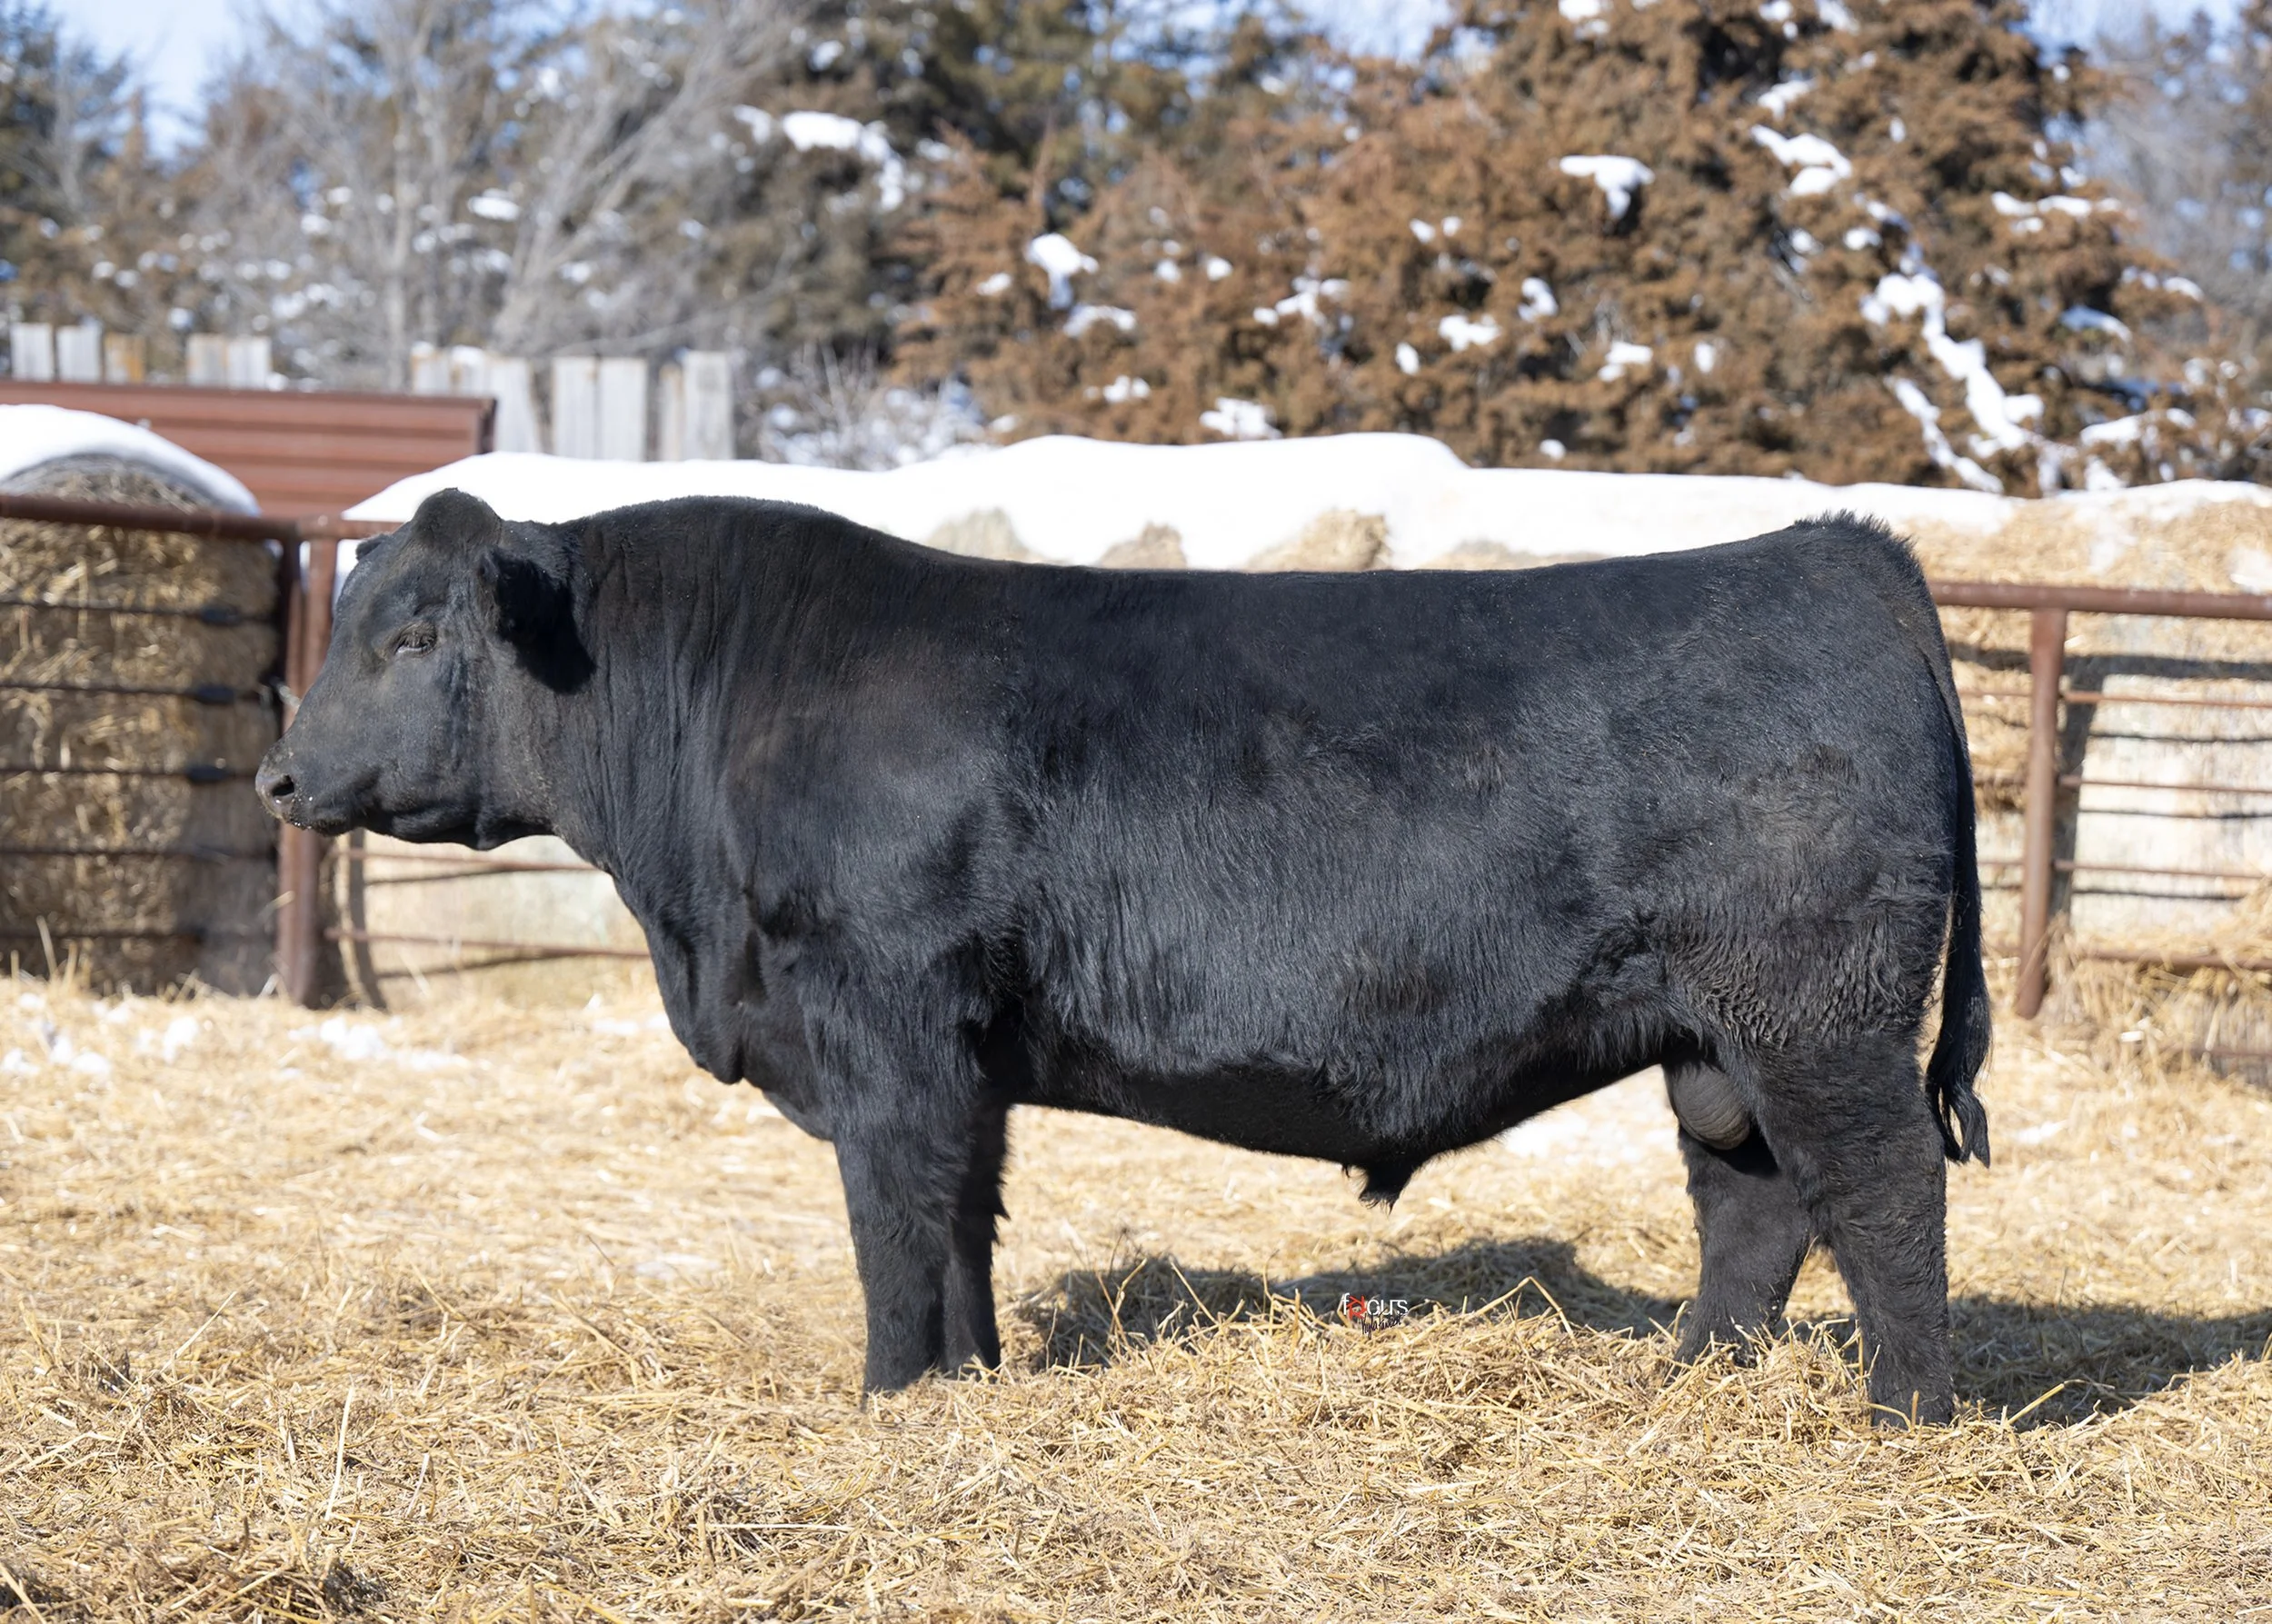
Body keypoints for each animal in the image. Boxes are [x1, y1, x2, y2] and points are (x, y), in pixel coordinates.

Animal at [257, 489, 1990, 1424]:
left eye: (412, 633)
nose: (279, 777)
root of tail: (1833, 549)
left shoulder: (884, 1014)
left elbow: (896, 1209)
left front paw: (891, 1391)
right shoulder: (960, 1048)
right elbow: (962, 1211)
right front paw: (966, 1377)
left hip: (1819, 1010)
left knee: (1881, 1185)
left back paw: (1904, 1407)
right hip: (1716, 1033)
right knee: (1750, 1199)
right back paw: (1696, 1373)